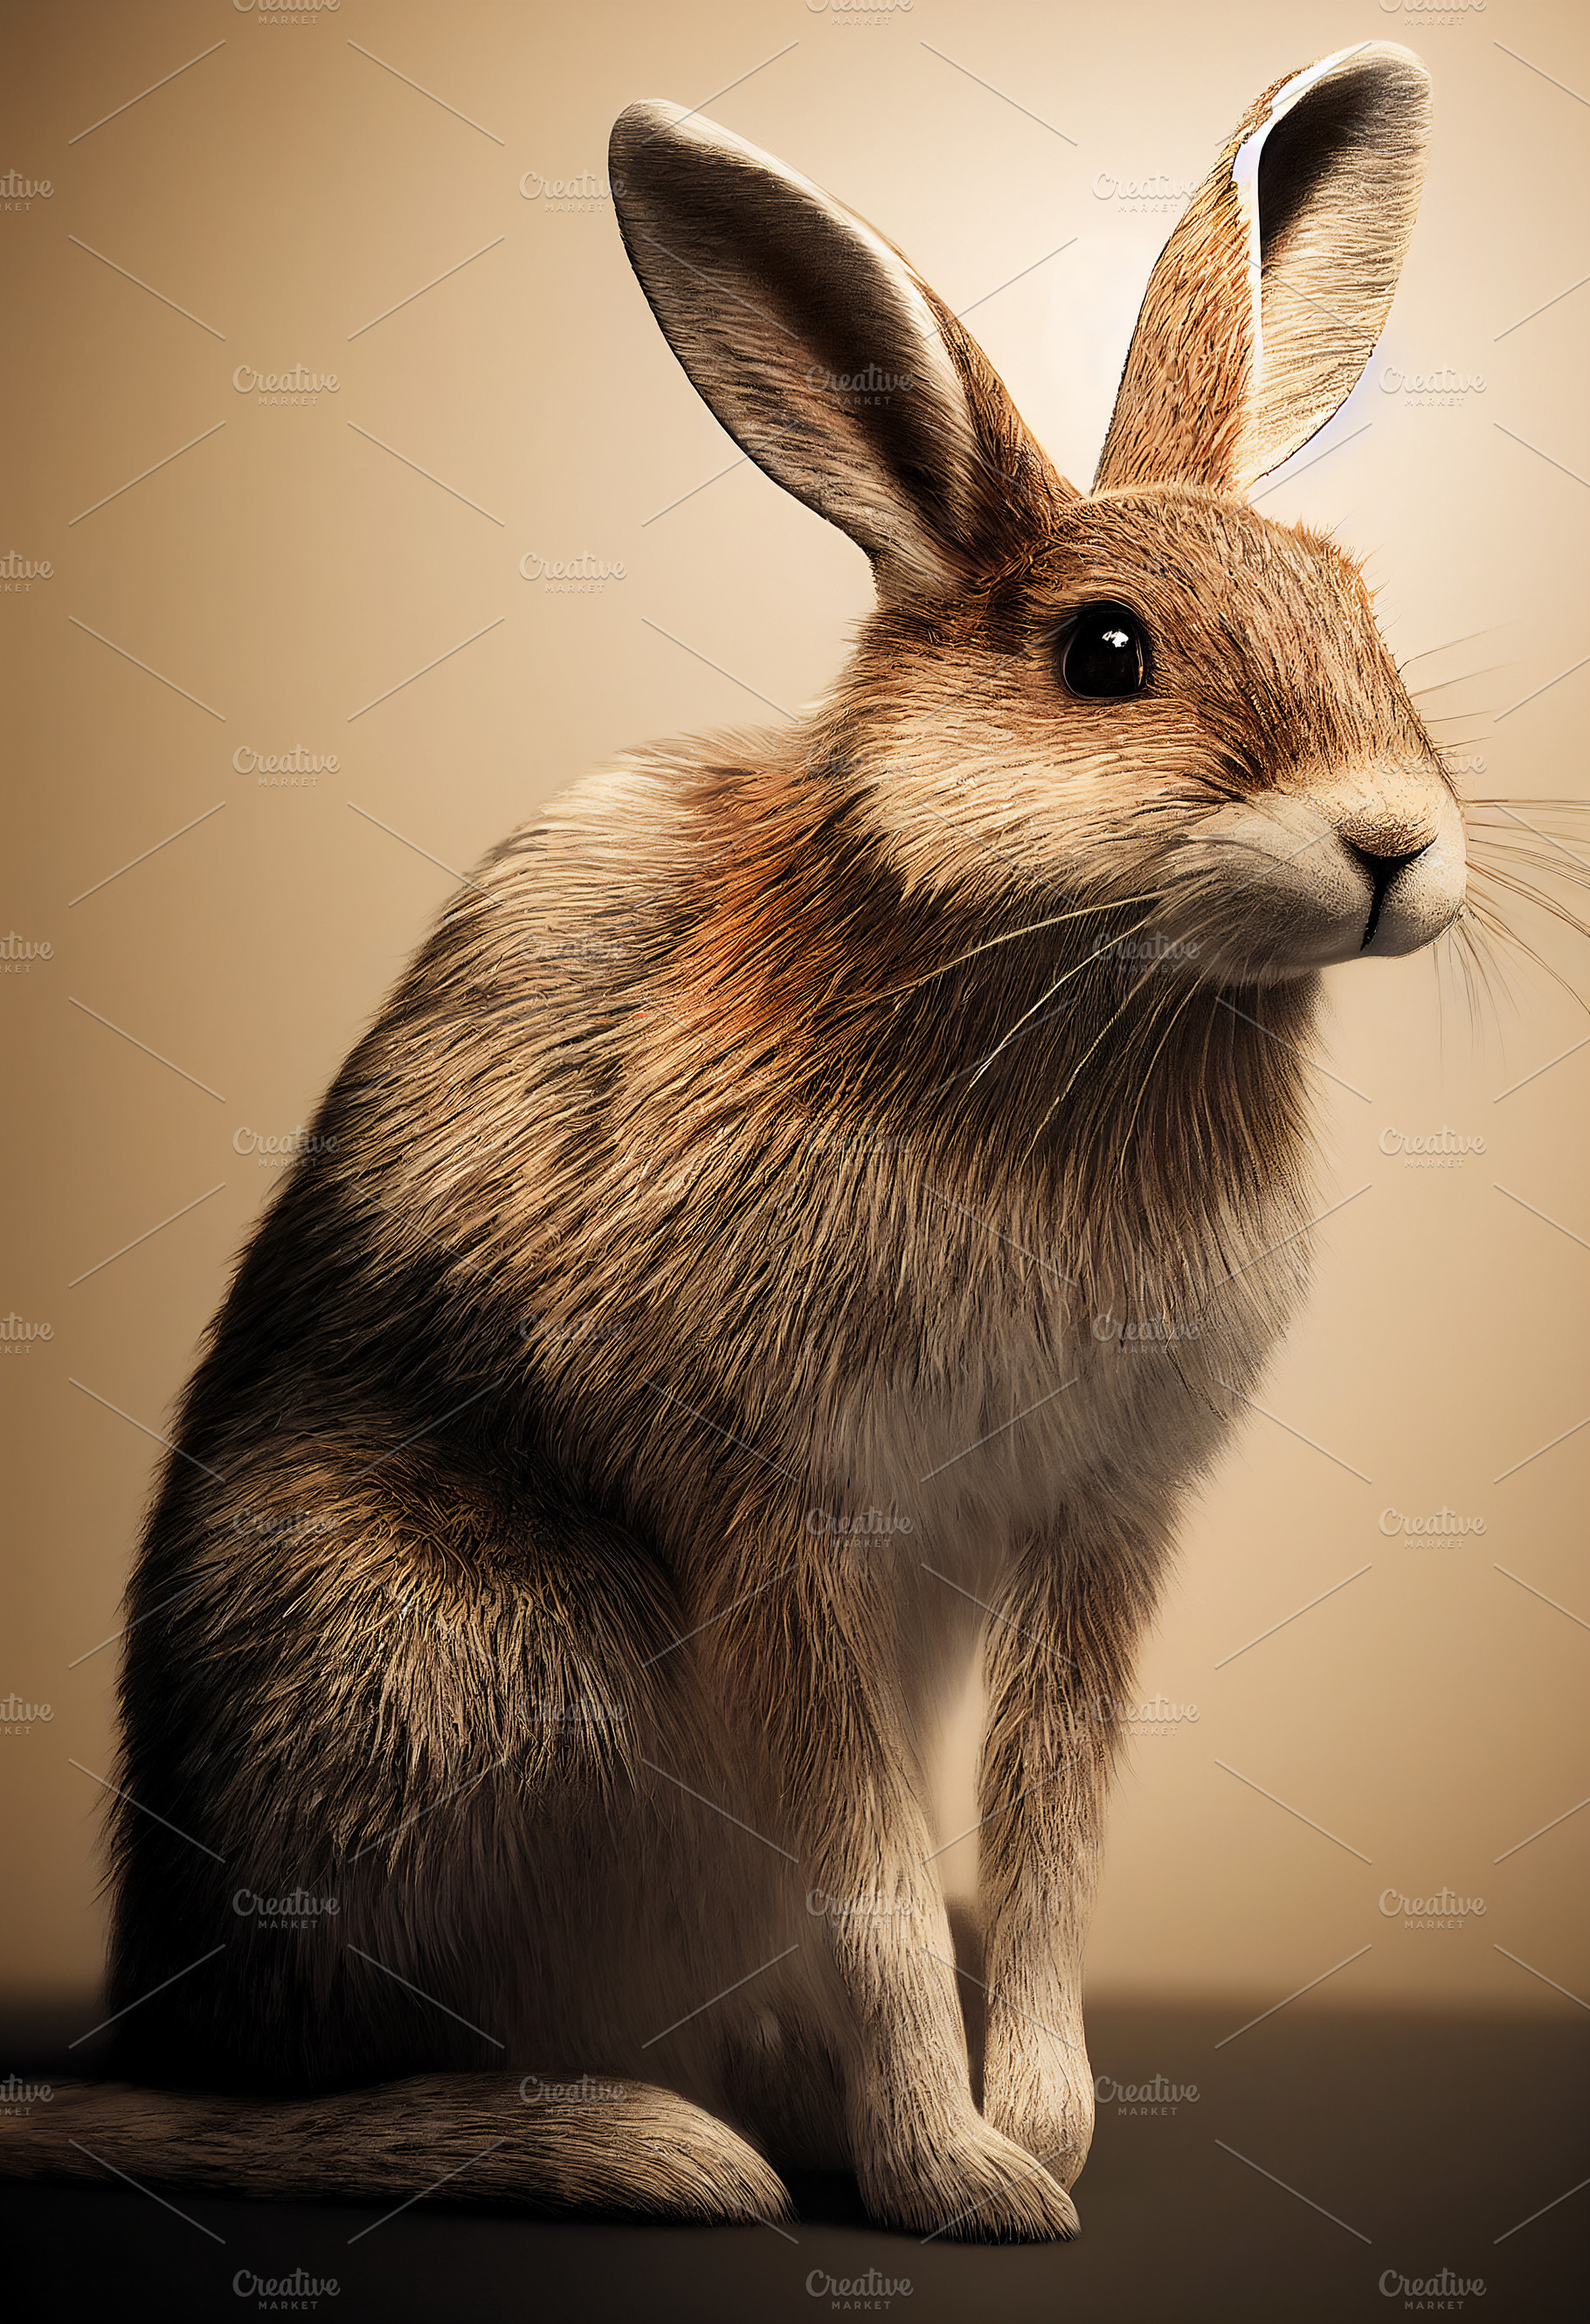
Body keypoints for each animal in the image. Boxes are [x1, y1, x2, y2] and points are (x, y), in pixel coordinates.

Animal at [5, 41, 1466, 2243]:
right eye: (1104, 652)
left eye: (1363, 604)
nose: (1395, 845)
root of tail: (160, 1998)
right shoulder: (781, 1508)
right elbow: (869, 1876)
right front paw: (965, 2180)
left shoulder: (1100, 1520)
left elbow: (1049, 1845)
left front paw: (1040, 2136)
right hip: (461, 1678)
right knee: (331, 2083)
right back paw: (662, 2148)